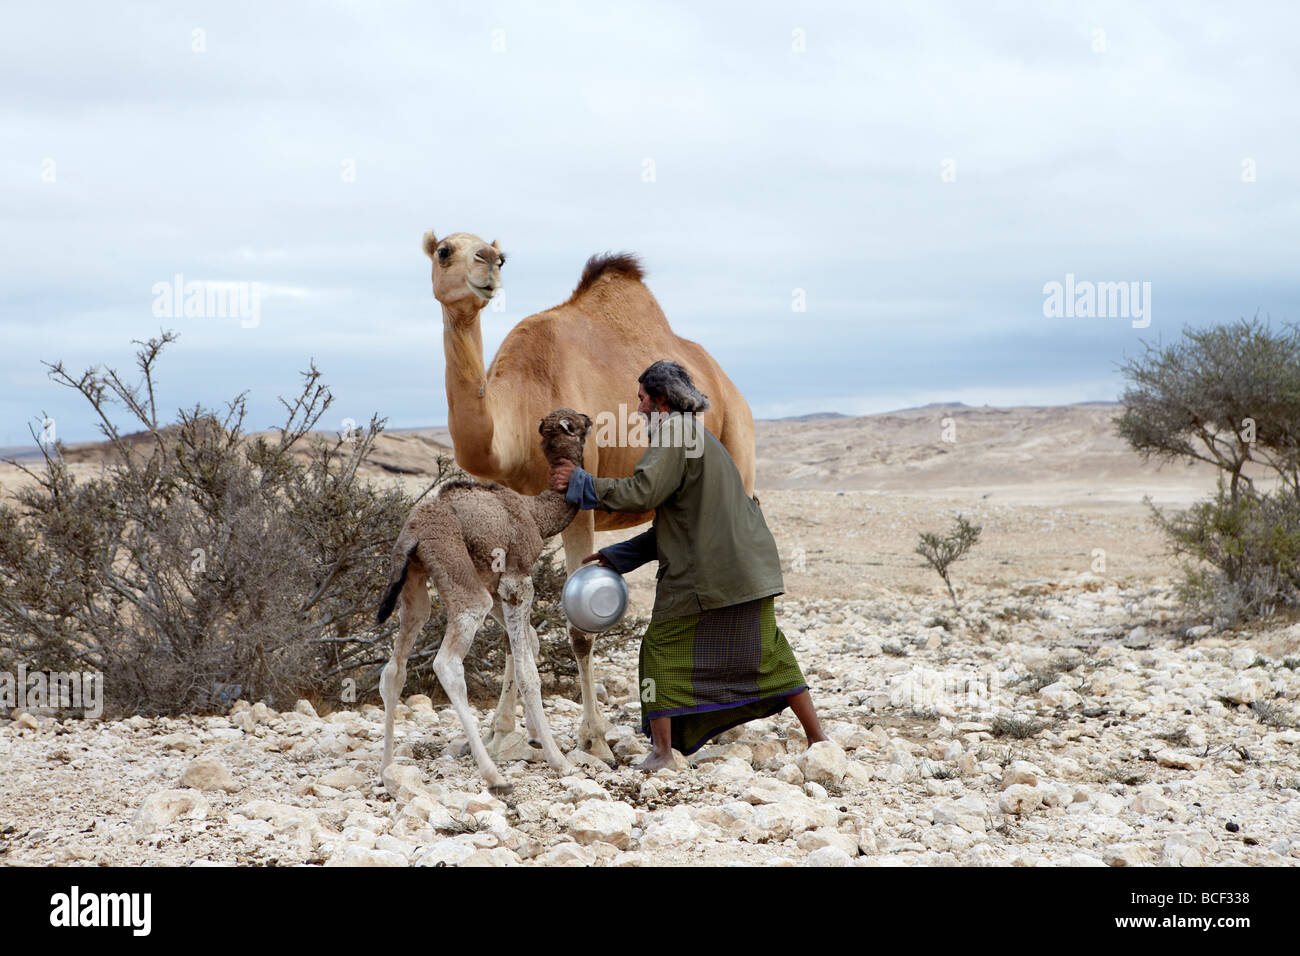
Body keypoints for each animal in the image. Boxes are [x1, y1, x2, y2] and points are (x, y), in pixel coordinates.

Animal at [376, 408, 594, 795]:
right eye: (576, 421)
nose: (590, 416)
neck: (536, 514)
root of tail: (413, 529)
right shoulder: (517, 579)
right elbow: (528, 670)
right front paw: (559, 760)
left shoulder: (494, 586)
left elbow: (528, 643)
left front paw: (533, 737)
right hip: (456, 570)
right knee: (447, 663)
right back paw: (494, 775)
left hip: (415, 580)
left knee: (395, 666)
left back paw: (388, 770)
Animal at [424, 229, 757, 765]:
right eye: (444, 251)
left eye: (501, 256)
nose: (487, 262)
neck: (522, 404)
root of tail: (727, 384)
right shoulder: (514, 514)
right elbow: (517, 633)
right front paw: (502, 733)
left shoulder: (578, 507)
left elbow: (579, 631)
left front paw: (594, 740)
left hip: (741, 450)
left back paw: (731, 724)